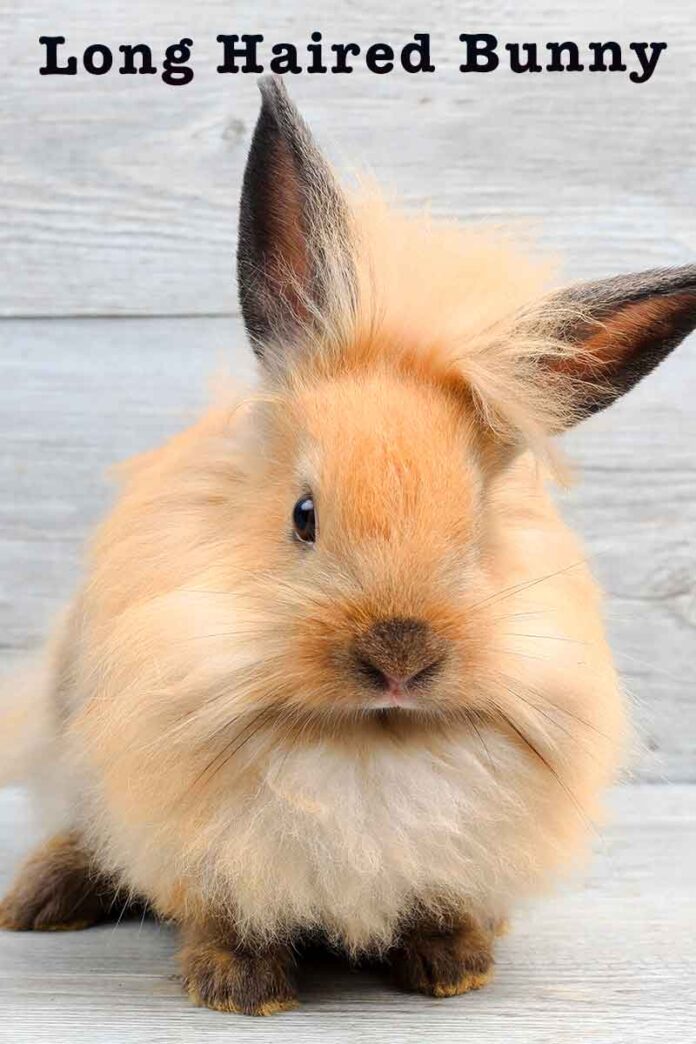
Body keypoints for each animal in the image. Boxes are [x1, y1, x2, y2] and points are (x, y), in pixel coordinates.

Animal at [0, 76, 694, 1017]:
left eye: (478, 530)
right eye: (302, 516)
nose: (400, 656)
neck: (369, 746)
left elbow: (440, 910)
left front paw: (453, 967)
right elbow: (221, 908)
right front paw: (240, 988)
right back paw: (37, 903)